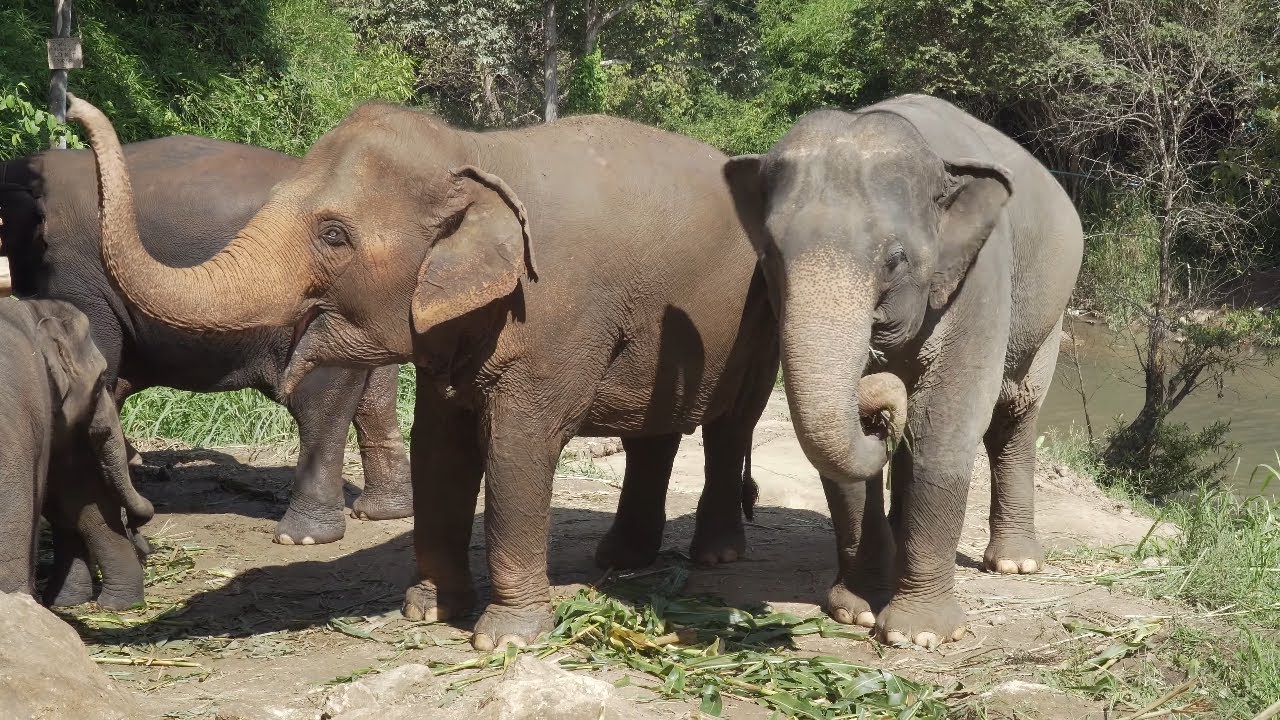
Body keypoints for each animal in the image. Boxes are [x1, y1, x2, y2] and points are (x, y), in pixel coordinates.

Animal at [0, 135, 412, 546]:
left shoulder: (77, 279)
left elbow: (101, 373)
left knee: (319, 406)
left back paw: (301, 538)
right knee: (375, 396)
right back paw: (380, 512)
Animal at [67, 94, 911, 650]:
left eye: (335, 235)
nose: (72, 106)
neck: (475, 152)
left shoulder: (554, 312)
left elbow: (517, 448)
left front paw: (503, 638)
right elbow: (440, 445)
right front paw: (426, 611)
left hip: (763, 313)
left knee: (728, 422)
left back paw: (714, 556)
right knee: (653, 434)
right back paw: (621, 562)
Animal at [723, 94, 1083, 648]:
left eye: (895, 259)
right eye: (770, 256)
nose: (875, 387)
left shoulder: (981, 277)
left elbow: (944, 425)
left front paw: (918, 635)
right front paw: (854, 611)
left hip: (1050, 314)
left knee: (1014, 414)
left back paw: (1015, 564)